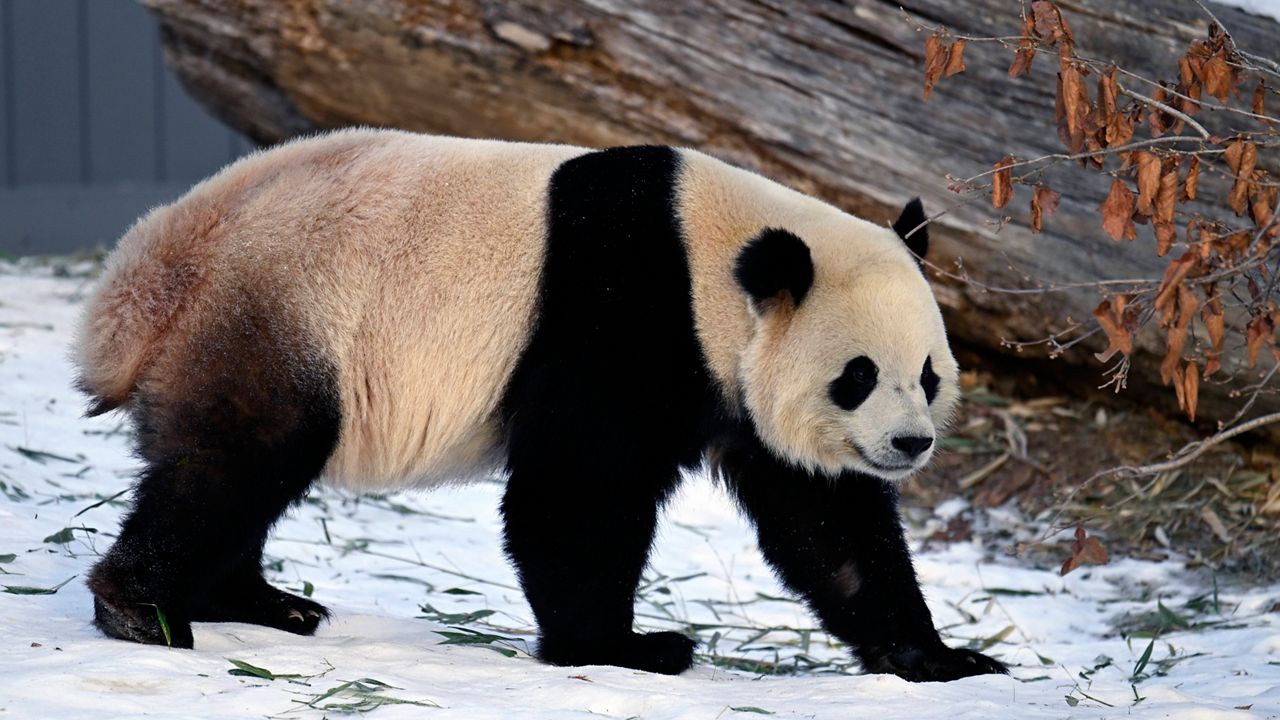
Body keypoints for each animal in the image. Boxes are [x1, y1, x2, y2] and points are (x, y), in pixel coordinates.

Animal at [75, 128, 1006, 682]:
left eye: (928, 375)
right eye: (858, 375)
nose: (910, 446)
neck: (719, 263)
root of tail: (145, 276)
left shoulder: (740, 386)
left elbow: (829, 526)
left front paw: (942, 659)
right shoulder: (623, 311)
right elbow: (577, 495)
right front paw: (628, 648)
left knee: (241, 477)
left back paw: (259, 603)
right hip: (280, 317)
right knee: (236, 463)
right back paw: (145, 612)